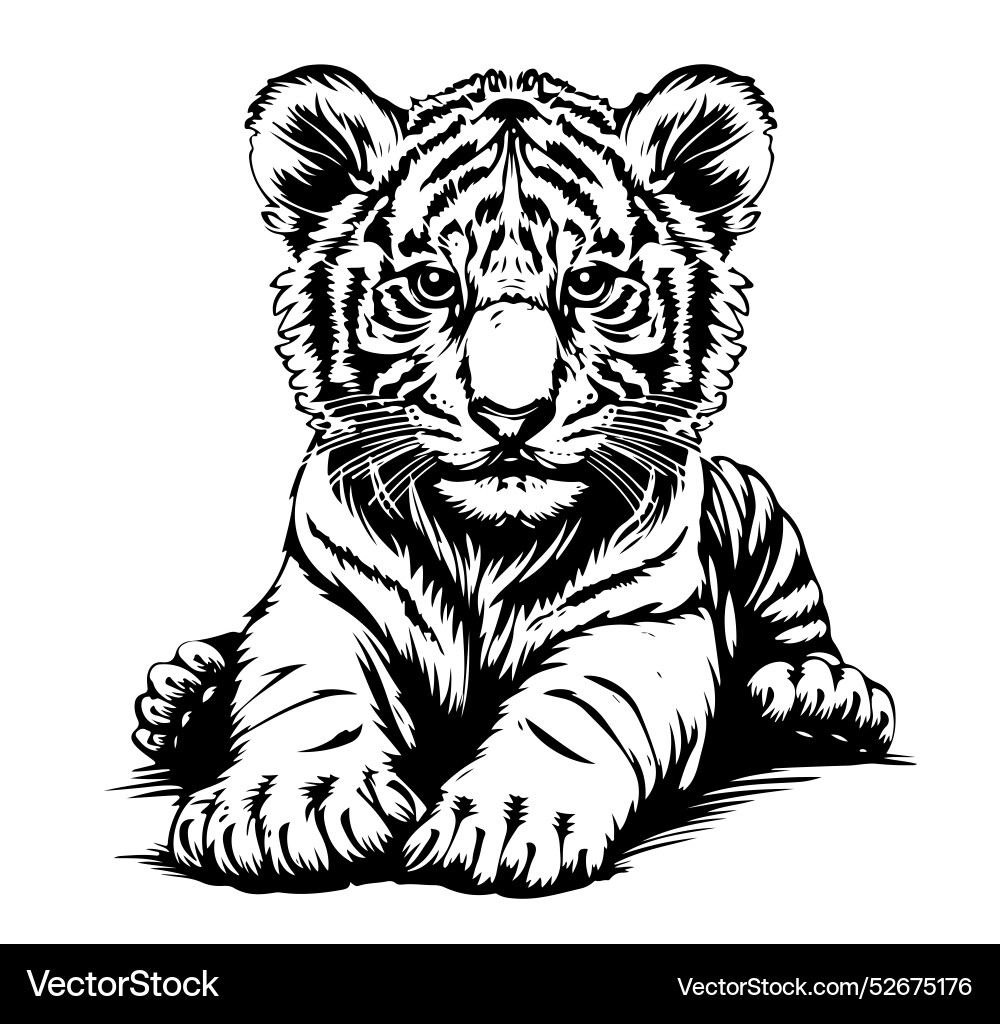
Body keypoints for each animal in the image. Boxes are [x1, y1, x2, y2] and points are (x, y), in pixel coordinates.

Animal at [133, 64, 895, 894]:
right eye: (432, 284)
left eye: (590, 284)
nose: (511, 414)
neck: (488, 543)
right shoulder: (326, 593)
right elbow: (306, 690)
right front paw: (283, 807)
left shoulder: (643, 619)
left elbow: (575, 712)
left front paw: (507, 822)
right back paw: (187, 690)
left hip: (763, 523)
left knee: (803, 634)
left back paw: (816, 695)